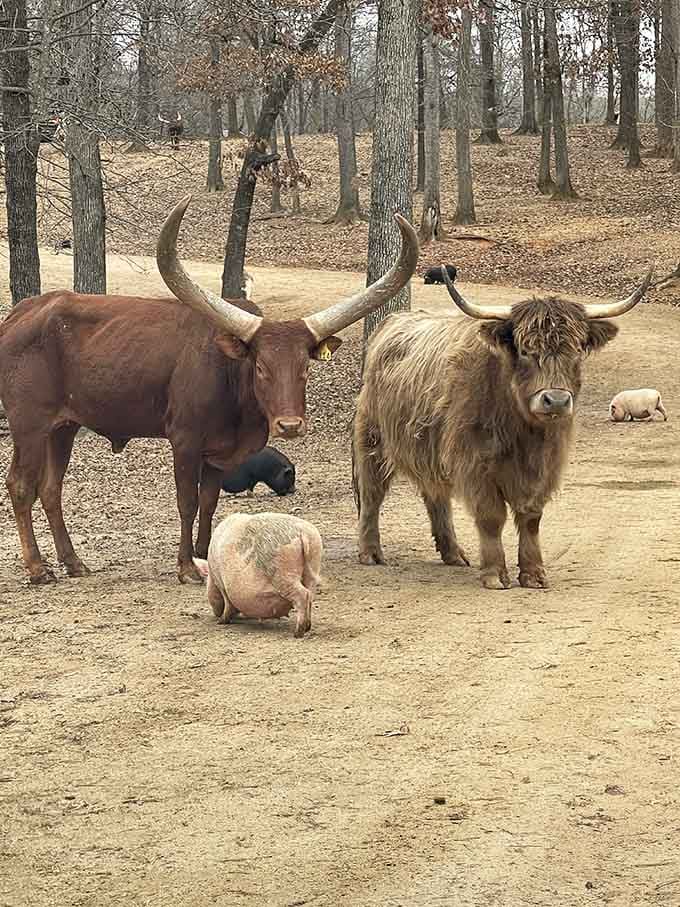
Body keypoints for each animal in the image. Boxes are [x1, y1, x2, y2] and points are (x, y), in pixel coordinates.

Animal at [0, 196, 418, 586]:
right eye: (261, 367)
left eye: (304, 368)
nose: (289, 425)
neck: (231, 380)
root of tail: (19, 314)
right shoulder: (184, 440)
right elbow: (187, 501)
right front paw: (186, 566)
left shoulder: (219, 453)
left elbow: (209, 502)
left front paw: (205, 557)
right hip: (29, 425)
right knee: (20, 485)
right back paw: (38, 569)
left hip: (63, 428)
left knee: (51, 488)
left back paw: (73, 563)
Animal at [193, 512, 322, 637]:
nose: (216, 614)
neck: (212, 573)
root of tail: (303, 533)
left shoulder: (220, 581)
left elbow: (228, 602)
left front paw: (221, 621)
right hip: (312, 568)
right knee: (310, 594)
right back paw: (308, 627)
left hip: (283, 574)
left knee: (303, 595)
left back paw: (298, 633)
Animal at [352, 266, 652, 590]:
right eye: (525, 351)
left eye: (576, 351)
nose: (556, 400)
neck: (523, 431)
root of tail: (393, 321)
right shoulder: (475, 462)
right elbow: (491, 516)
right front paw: (495, 573)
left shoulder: (546, 465)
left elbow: (531, 518)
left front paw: (533, 574)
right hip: (373, 439)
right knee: (372, 493)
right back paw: (371, 552)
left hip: (430, 451)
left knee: (436, 496)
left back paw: (453, 553)